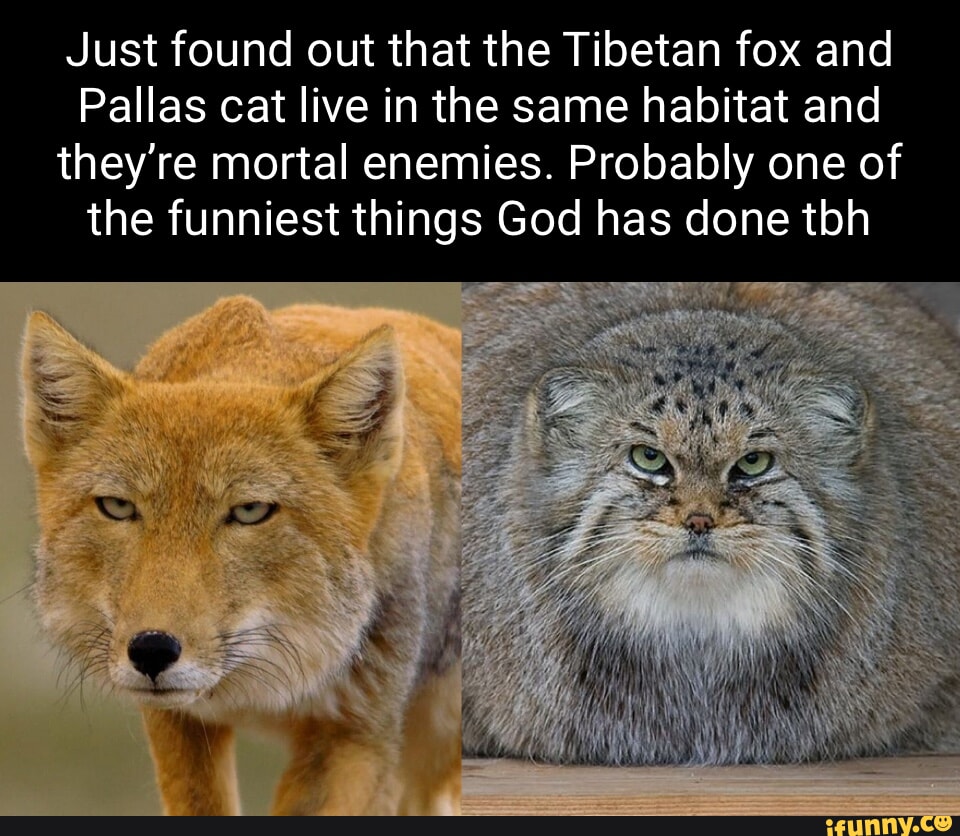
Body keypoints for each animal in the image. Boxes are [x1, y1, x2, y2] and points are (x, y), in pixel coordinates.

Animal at [19, 295, 462, 816]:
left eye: (250, 511)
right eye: (118, 507)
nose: (151, 649)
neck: (260, 692)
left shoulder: (354, 736)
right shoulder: (177, 721)